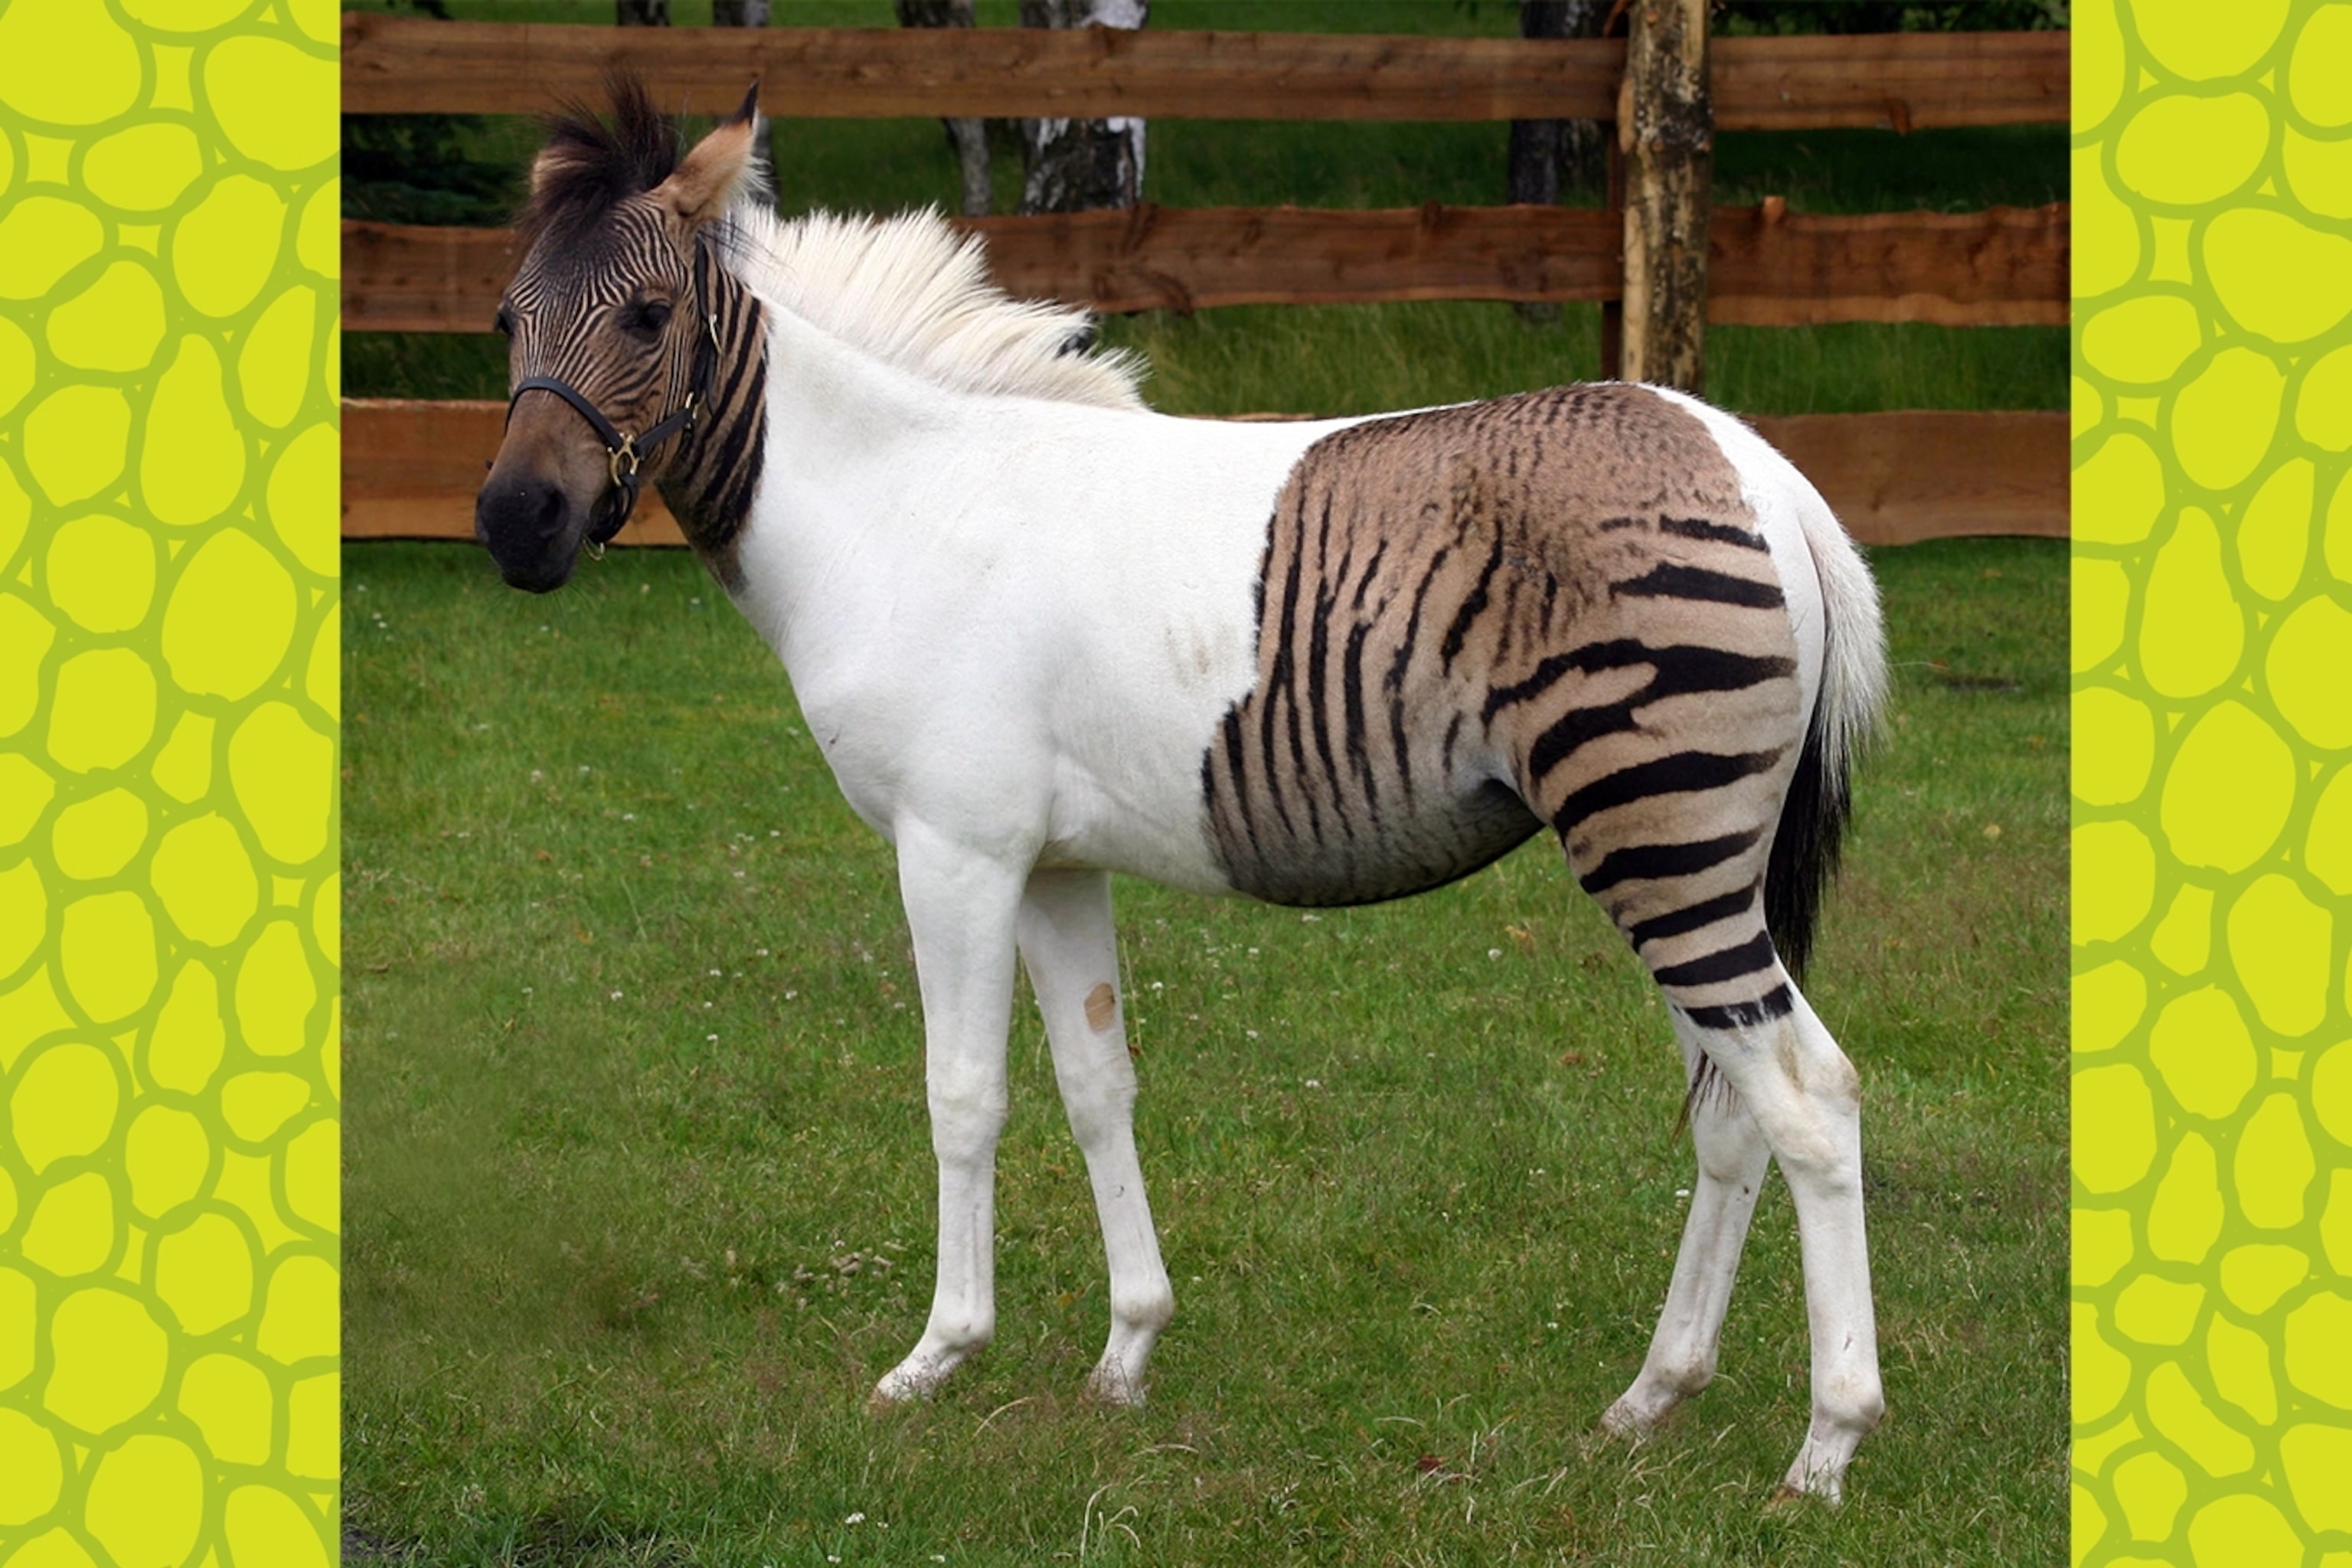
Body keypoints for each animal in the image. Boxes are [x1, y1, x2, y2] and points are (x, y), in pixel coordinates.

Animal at [474, 80, 1889, 1503]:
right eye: (502, 319)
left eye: (650, 316)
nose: (513, 525)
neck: (894, 510)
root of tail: (1754, 466)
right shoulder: (1052, 862)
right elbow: (1097, 1084)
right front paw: (1126, 1354)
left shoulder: (954, 848)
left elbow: (962, 1096)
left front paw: (936, 1359)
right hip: (1692, 848)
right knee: (1733, 1113)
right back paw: (1653, 1396)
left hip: (1659, 834)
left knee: (1810, 1099)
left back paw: (1825, 1447)